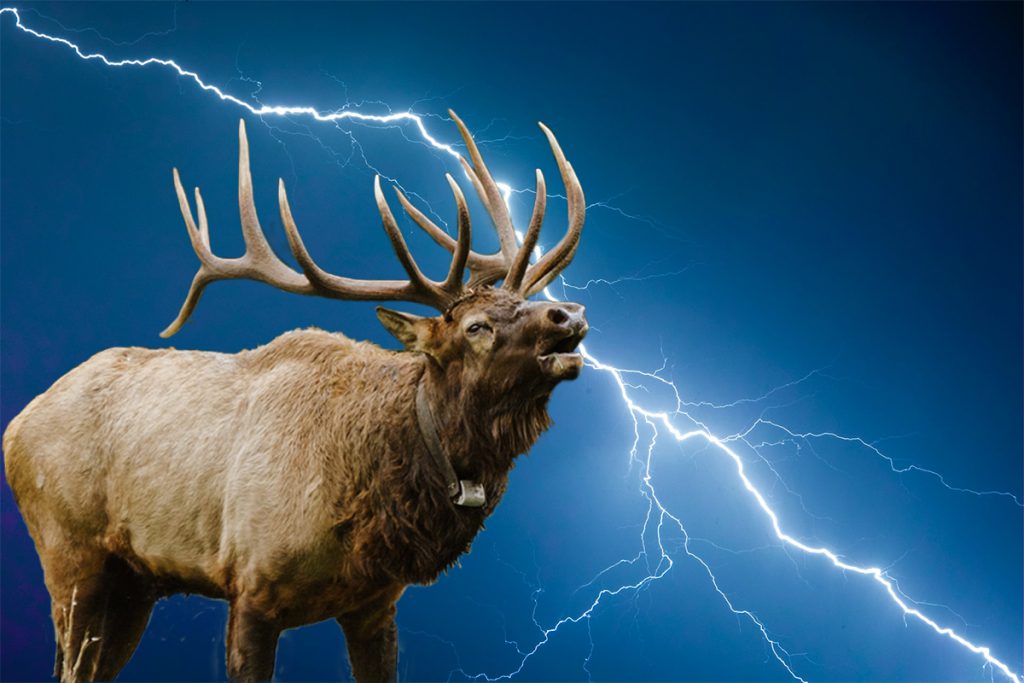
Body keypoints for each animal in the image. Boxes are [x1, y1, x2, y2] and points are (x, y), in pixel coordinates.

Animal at [2, 110, 588, 683]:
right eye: (475, 326)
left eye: (528, 299)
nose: (569, 314)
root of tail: (15, 426)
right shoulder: (251, 585)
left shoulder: (374, 604)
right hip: (70, 555)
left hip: (134, 582)